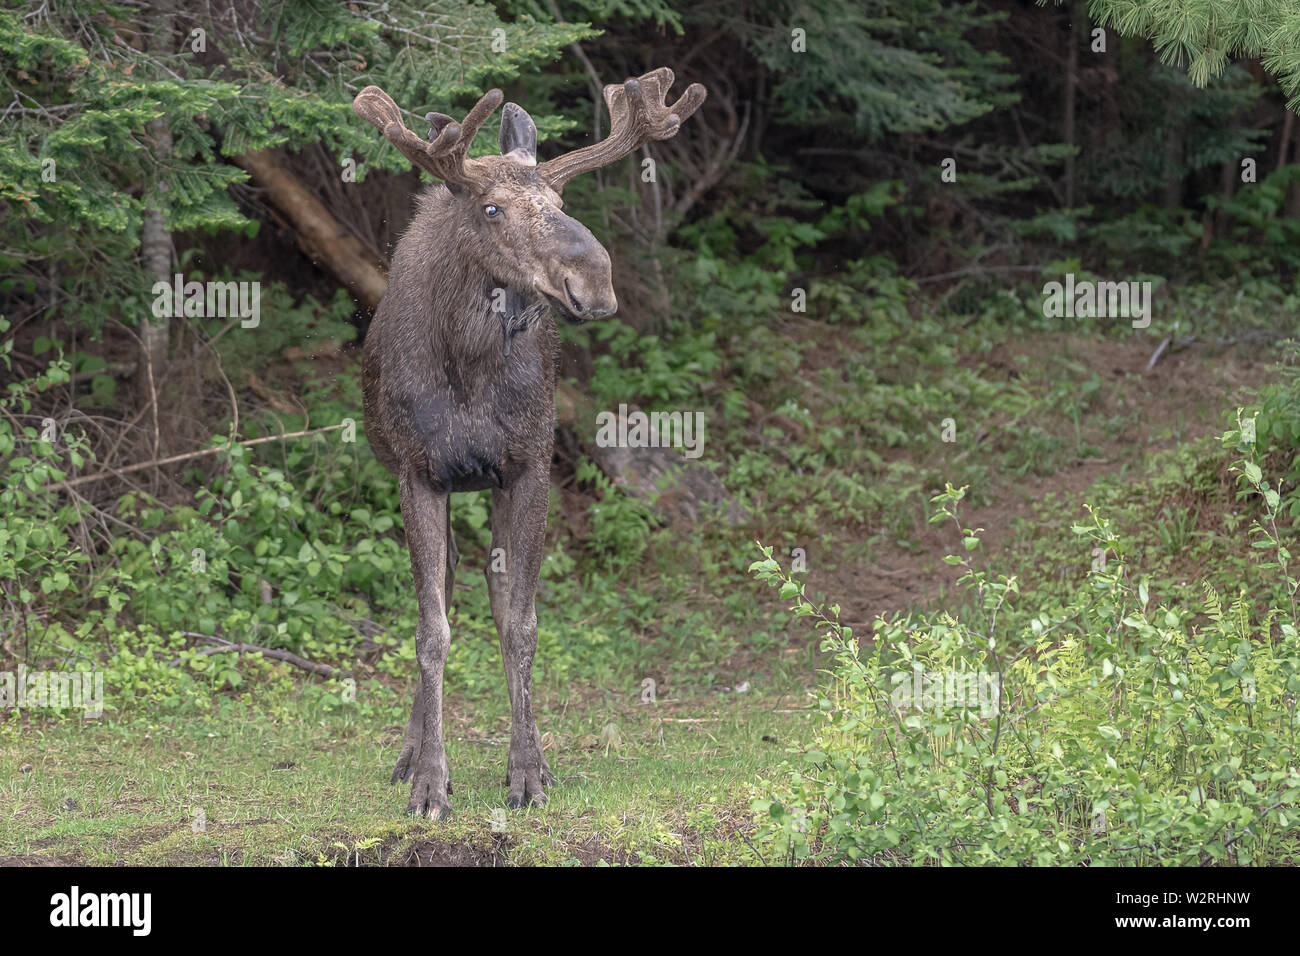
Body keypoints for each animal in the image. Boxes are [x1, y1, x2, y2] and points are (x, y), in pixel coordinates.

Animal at [352, 69, 707, 818]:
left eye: (561, 200)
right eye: (491, 209)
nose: (595, 277)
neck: (468, 364)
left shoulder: (528, 466)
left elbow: (522, 624)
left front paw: (527, 770)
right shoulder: (418, 471)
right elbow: (430, 629)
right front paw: (430, 781)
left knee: (493, 585)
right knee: (445, 588)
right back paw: (409, 752)